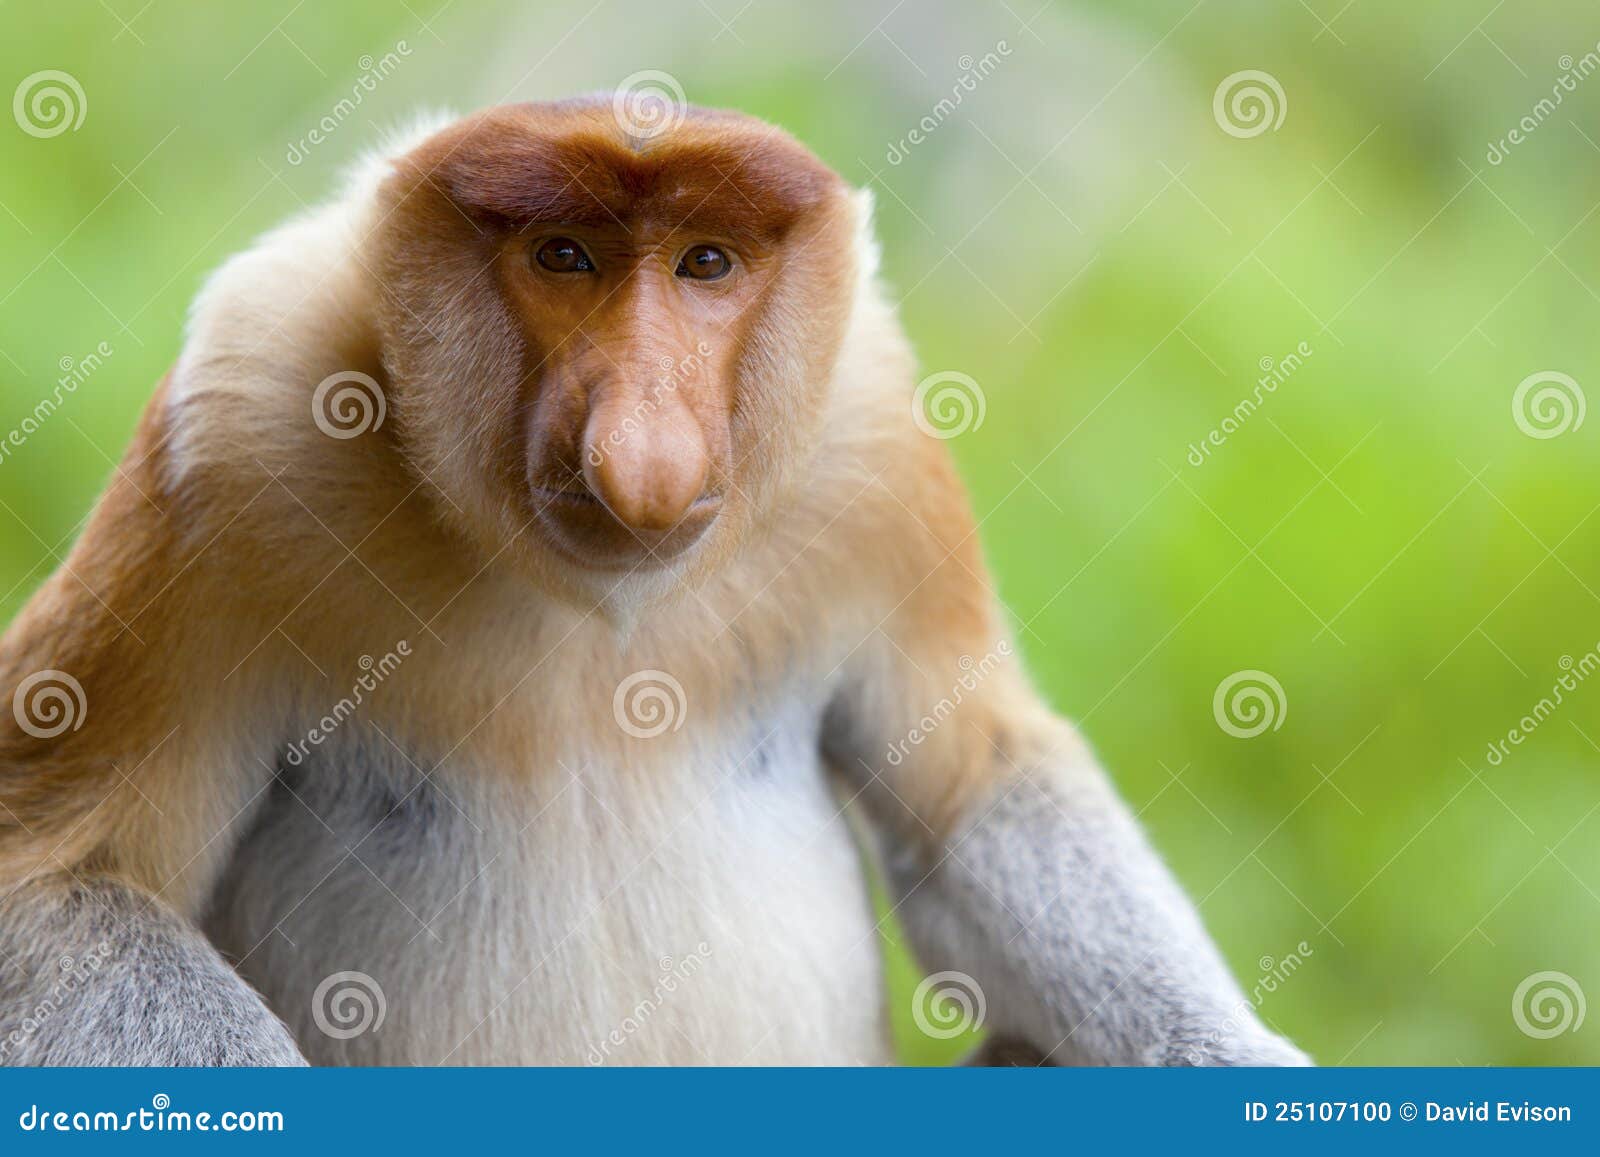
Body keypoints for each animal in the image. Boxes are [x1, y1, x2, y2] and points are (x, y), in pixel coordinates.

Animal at [0, 99, 1309, 1067]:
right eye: (564, 256)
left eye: (706, 263)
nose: (639, 448)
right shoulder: (235, 435)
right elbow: (62, 877)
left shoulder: (875, 442)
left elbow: (971, 783)